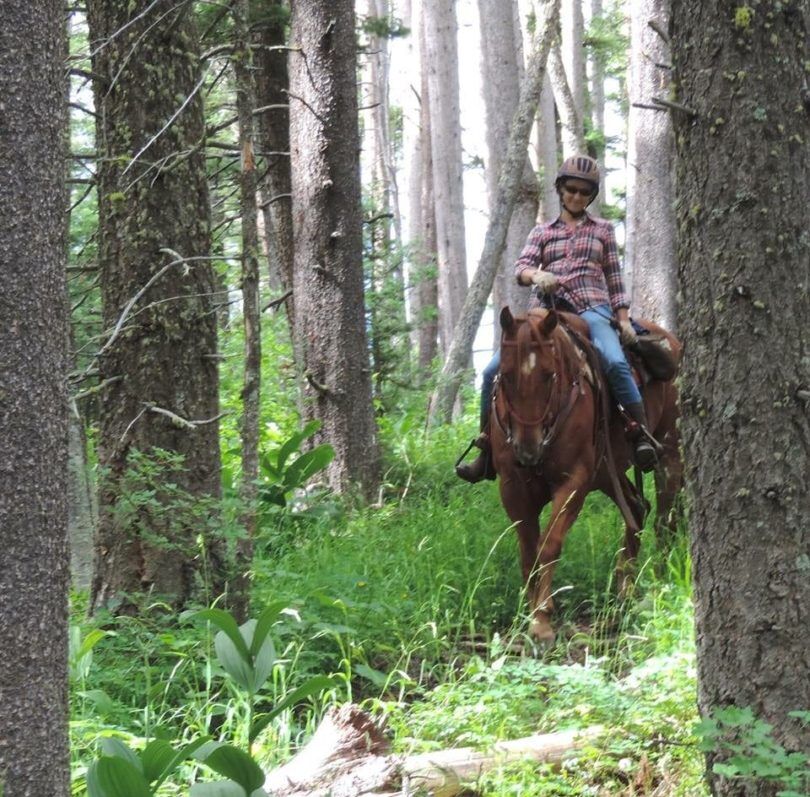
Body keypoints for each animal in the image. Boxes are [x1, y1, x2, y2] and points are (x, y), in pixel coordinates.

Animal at [491, 306, 682, 643]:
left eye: (549, 375)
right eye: (507, 375)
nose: (528, 450)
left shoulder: (574, 482)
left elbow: (549, 545)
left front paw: (542, 620)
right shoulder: (512, 487)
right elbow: (528, 551)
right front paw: (530, 614)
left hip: (668, 454)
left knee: (664, 521)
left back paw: (659, 584)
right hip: (607, 470)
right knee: (637, 508)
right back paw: (624, 588)